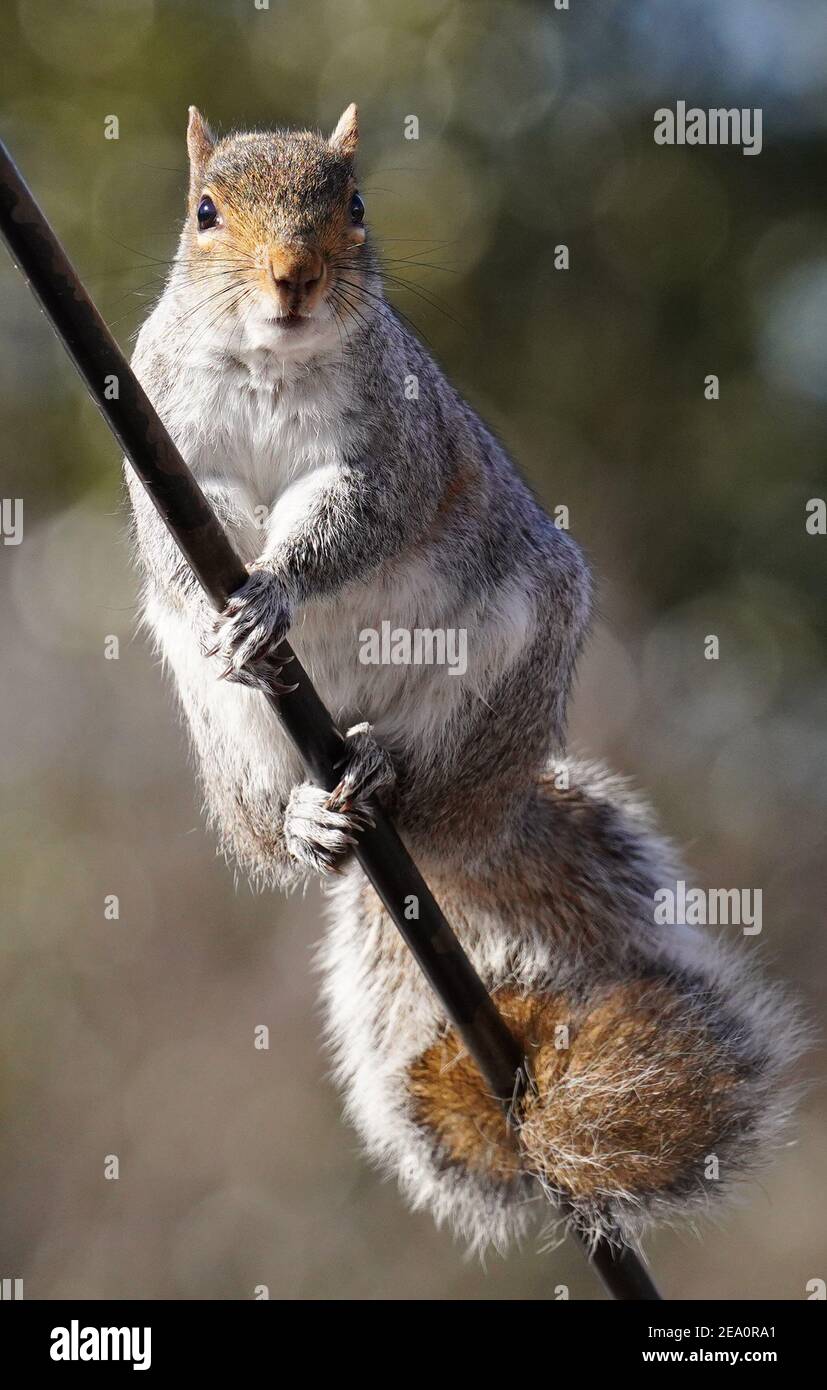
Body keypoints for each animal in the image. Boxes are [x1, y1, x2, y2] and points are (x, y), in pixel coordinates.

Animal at [127, 104, 803, 1254]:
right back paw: (304, 815)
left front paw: (274, 589)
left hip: (501, 671)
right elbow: (175, 518)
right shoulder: (165, 430)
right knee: (269, 825)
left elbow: (352, 516)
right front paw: (210, 589)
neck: (269, 360)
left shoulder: (391, 447)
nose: (294, 277)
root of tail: (470, 829)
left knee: (432, 773)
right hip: (230, 738)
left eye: (355, 204)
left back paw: (385, 769)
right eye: (204, 212)